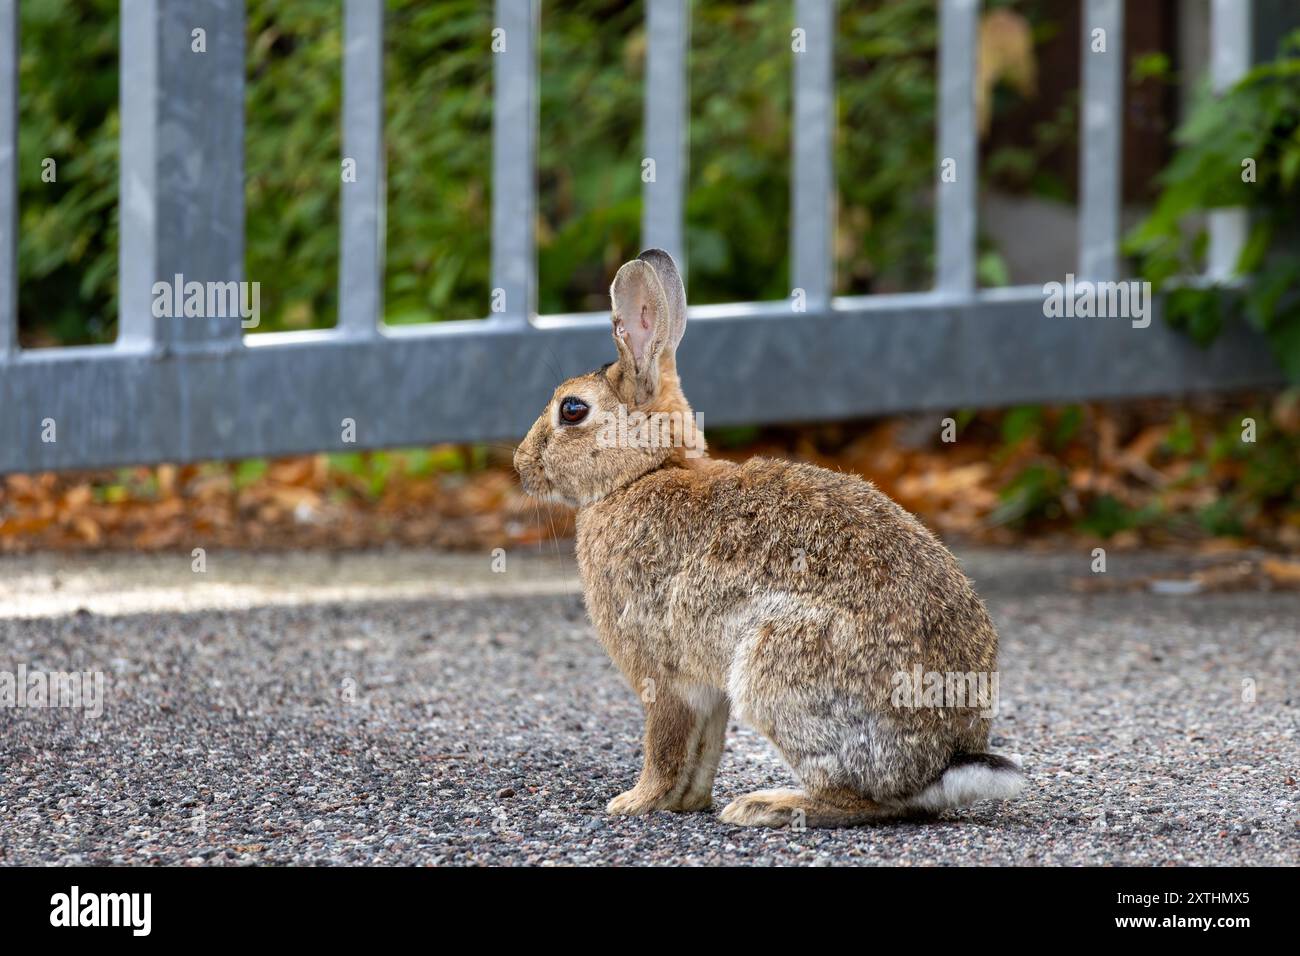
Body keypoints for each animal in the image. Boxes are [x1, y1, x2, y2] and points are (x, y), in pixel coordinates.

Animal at [513, 249, 1025, 827]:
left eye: (572, 409)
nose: (521, 465)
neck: (641, 472)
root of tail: (946, 762)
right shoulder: (707, 687)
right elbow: (703, 749)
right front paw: (685, 804)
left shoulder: (661, 673)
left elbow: (664, 744)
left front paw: (634, 802)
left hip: (776, 668)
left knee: (858, 800)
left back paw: (767, 805)